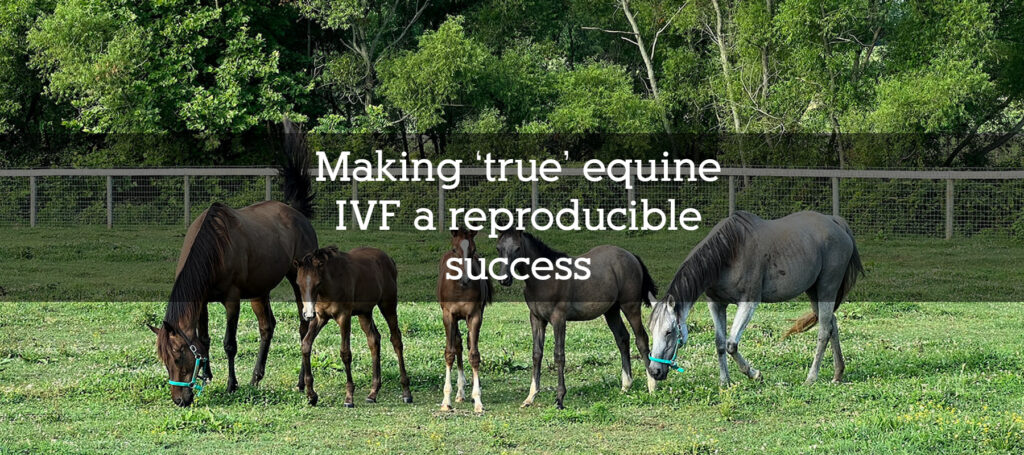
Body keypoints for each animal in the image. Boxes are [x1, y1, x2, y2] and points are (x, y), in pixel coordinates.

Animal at [149, 119, 318, 407]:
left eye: (179, 355)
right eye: (164, 359)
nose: (180, 399)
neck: (213, 249)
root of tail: (295, 212)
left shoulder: (232, 300)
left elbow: (230, 343)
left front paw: (231, 384)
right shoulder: (203, 300)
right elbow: (204, 339)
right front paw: (207, 375)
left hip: (298, 281)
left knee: (304, 326)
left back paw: (298, 382)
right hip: (260, 290)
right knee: (267, 327)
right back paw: (256, 378)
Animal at [294, 246, 412, 407]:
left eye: (317, 283)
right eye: (298, 284)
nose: (307, 314)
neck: (329, 286)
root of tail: (389, 259)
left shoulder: (344, 317)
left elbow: (345, 353)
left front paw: (349, 397)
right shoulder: (320, 317)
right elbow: (306, 345)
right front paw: (311, 395)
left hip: (388, 305)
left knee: (396, 340)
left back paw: (406, 392)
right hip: (364, 313)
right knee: (374, 340)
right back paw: (373, 393)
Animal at [437, 227, 493, 413]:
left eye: (473, 250)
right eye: (455, 250)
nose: (465, 278)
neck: (460, 288)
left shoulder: (475, 315)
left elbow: (474, 354)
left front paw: (478, 400)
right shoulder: (448, 315)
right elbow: (450, 353)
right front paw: (446, 400)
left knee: (467, 343)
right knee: (458, 344)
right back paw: (460, 392)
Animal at [496, 230, 658, 409]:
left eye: (517, 248)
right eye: (498, 248)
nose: (504, 280)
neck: (545, 278)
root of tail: (632, 256)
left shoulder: (559, 318)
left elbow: (559, 355)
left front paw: (560, 398)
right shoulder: (536, 318)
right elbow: (537, 354)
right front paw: (530, 396)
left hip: (630, 306)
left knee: (641, 339)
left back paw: (652, 386)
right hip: (611, 311)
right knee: (622, 338)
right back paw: (626, 386)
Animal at [646, 210, 863, 387]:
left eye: (669, 331)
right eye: (651, 330)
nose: (654, 371)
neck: (728, 252)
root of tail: (836, 222)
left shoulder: (748, 302)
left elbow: (731, 344)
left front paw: (754, 374)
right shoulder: (716, 304)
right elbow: (720, 344)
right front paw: (725, 382)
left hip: (827, 288)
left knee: (824, 331)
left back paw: (811, 378)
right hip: (813, 291)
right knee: (832, 324)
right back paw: (838, 374)